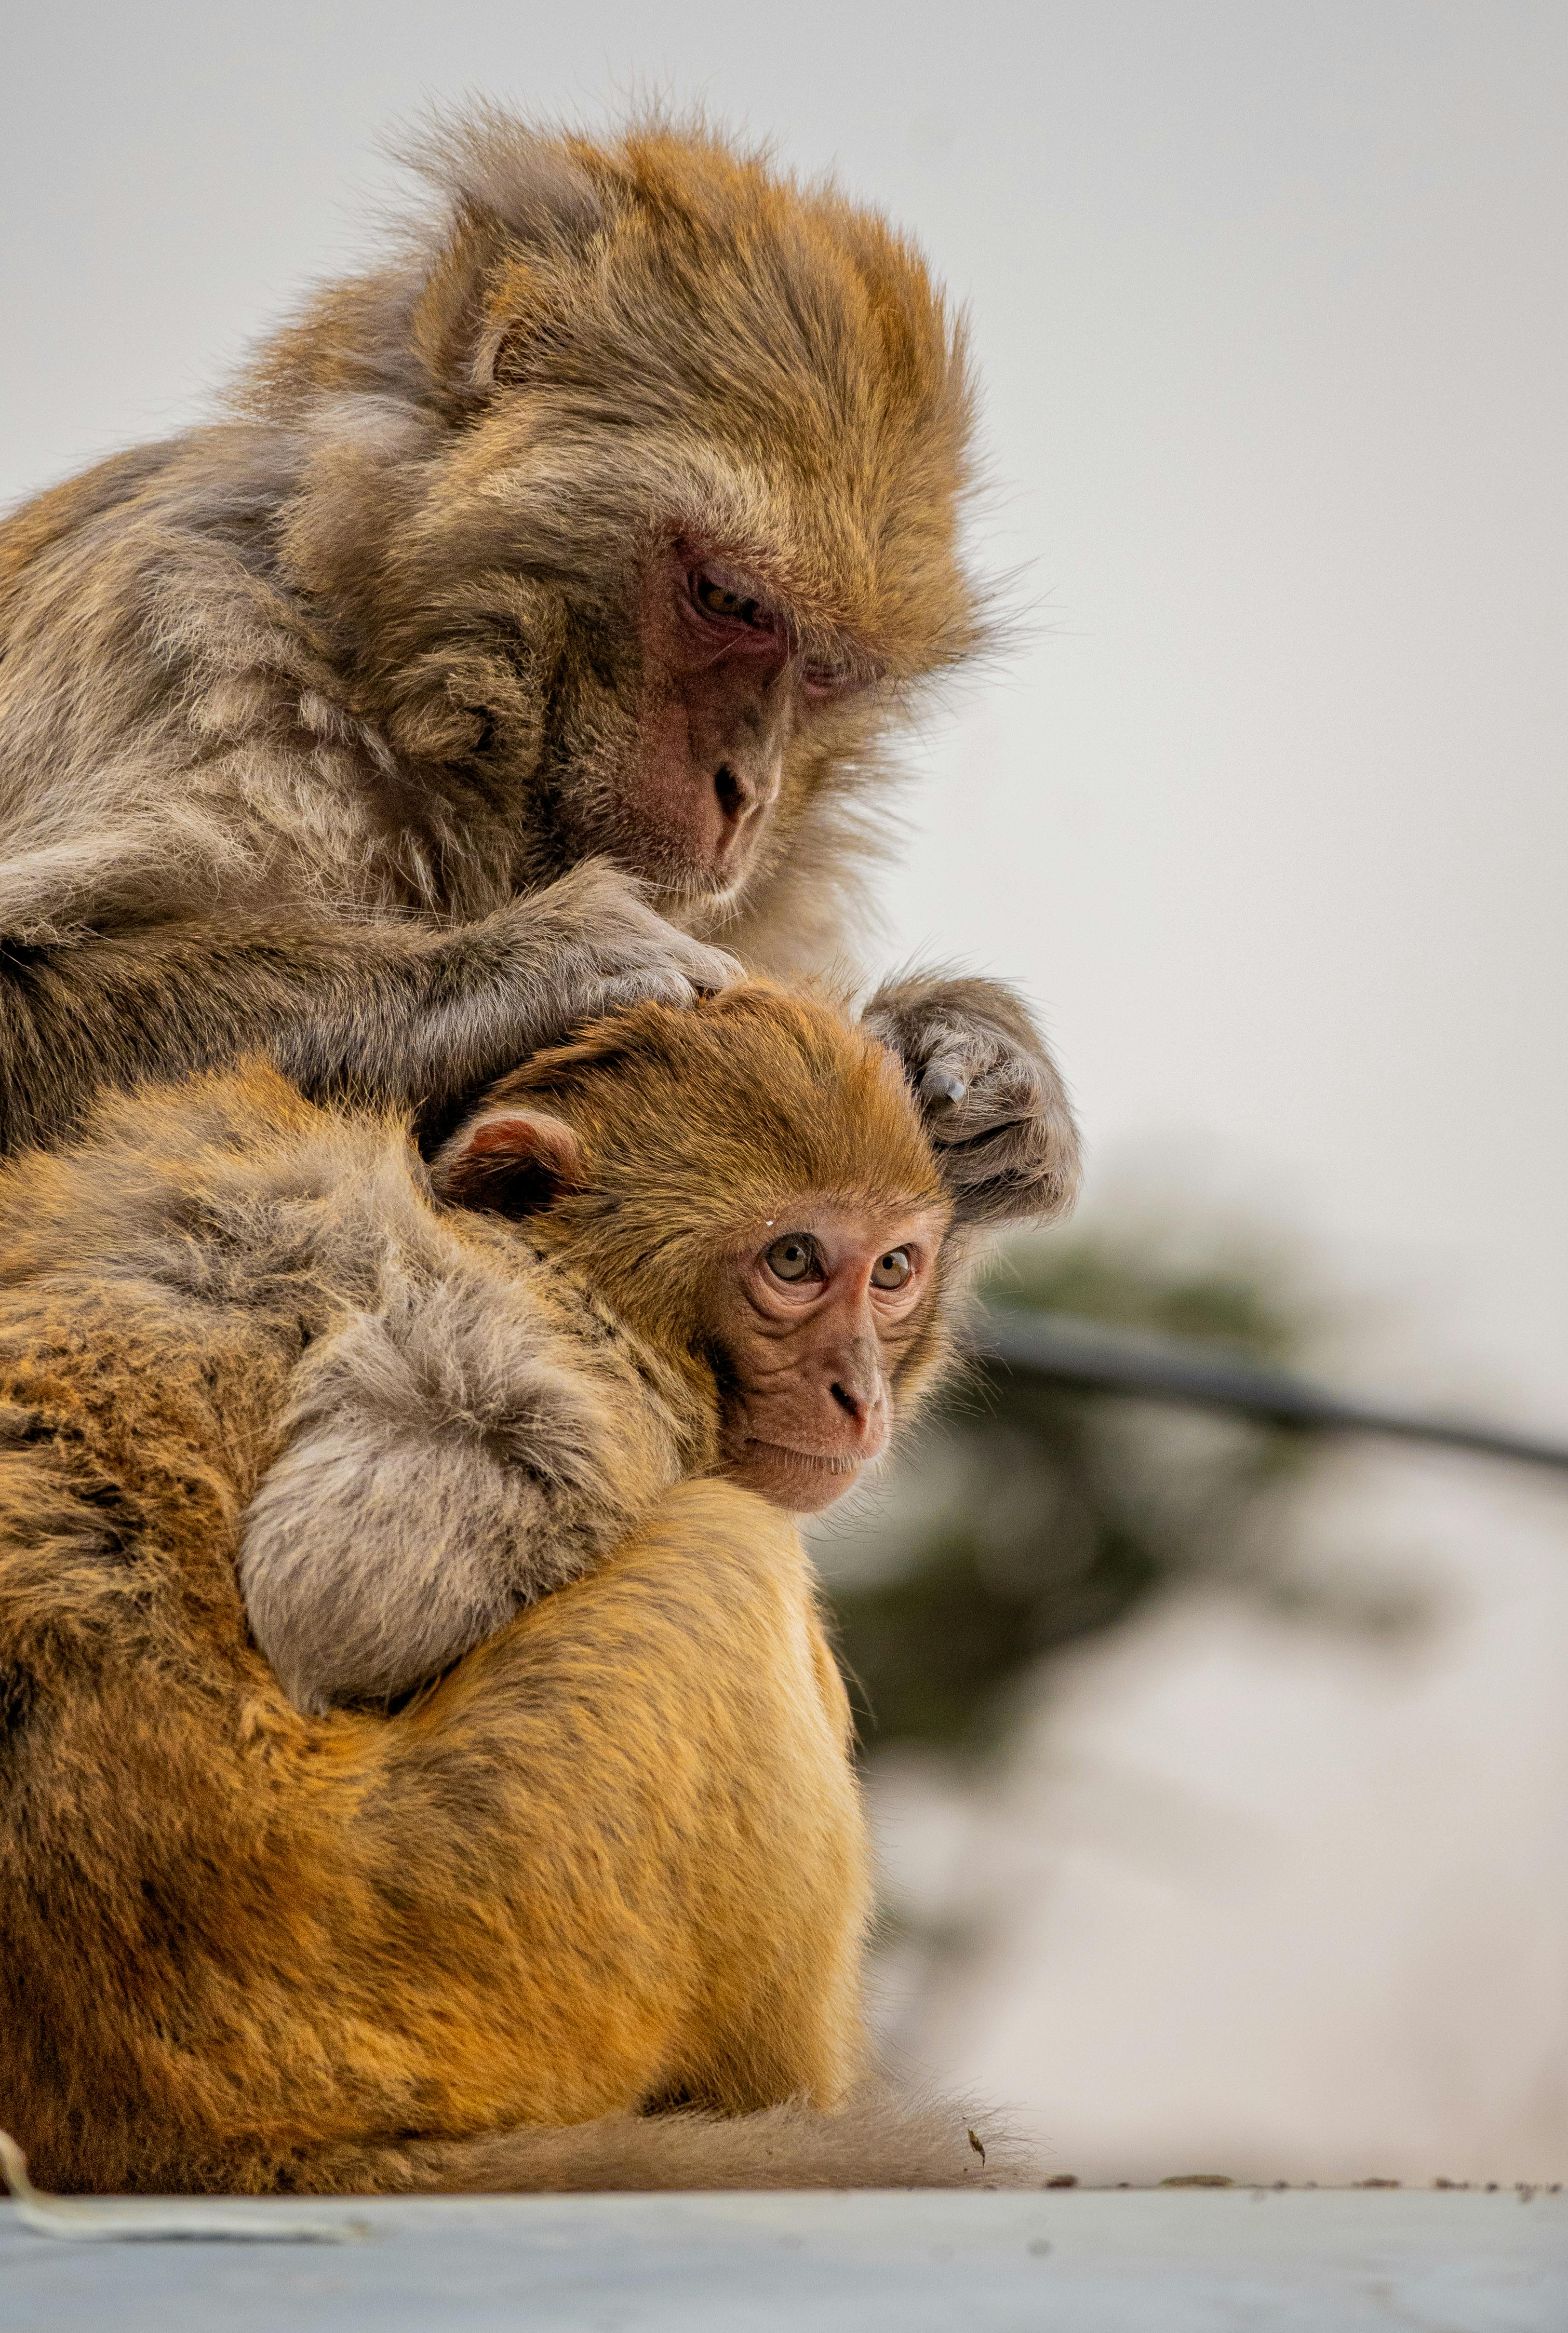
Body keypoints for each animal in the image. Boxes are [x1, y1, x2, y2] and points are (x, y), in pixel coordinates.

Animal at [0, 107, 1079, 1233]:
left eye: (826, 669)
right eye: (729, 601)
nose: (747, 792)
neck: (390, 684)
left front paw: (985, 1069)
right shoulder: (180, 657)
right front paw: (528, 967)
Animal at [0, 983, 1035, 2195]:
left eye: (892, 1270)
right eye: (792, 1260)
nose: (859, 1395)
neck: (571, 1272)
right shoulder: (548, 1363)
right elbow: (331, 1595)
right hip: (449, 1955)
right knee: (733, 1553)